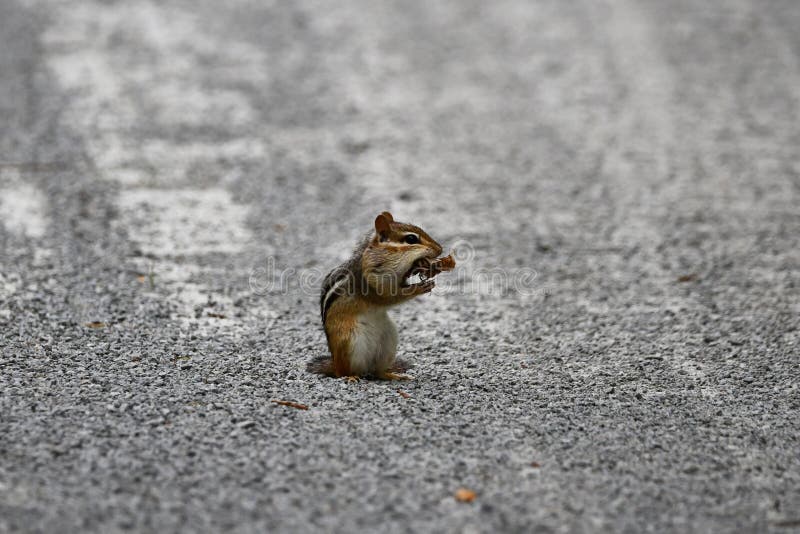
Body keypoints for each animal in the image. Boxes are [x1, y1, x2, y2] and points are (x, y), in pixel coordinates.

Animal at [309, 211, 455, 380]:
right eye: (411, 239)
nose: (439, 249)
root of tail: (334, 362)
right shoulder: (371, 282)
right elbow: (390, 296)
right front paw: (419, 287)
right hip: (349, 341)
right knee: (343, 372)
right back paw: (351, 377)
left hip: (389, 340)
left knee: (377, 371)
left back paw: (393, 375)